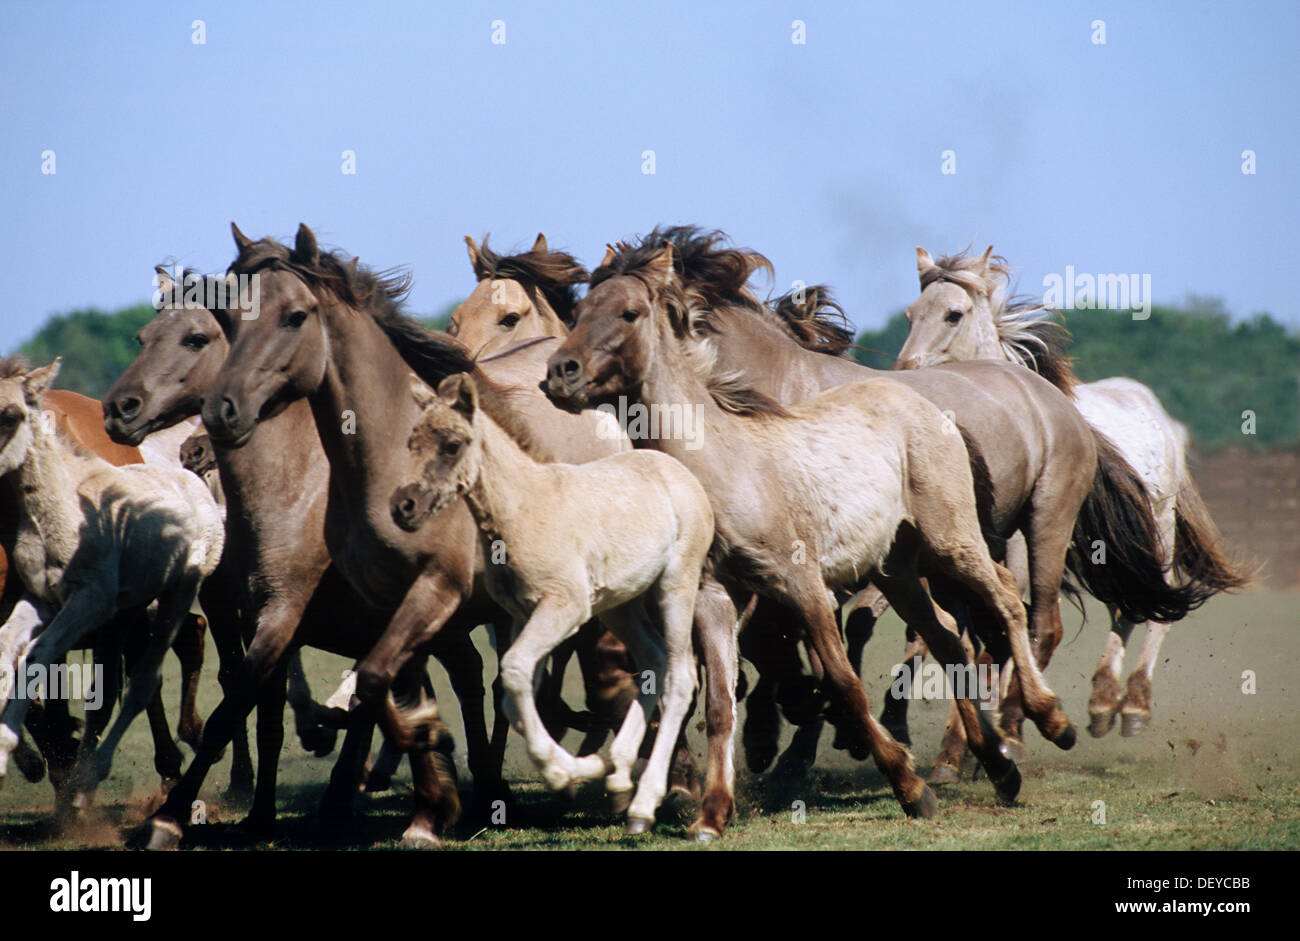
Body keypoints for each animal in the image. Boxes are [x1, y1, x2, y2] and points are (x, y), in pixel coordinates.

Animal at [0, 357, 225, 816]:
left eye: (10, 415)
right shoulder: (39, 599)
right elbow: (15, 655)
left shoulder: (92, 602)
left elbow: (42, 659)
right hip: (136, 608)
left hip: (173, 593)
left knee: (145, 678)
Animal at [391, 372, 714, 832]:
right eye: (411, 442)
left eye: (452, 444)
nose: (403, 507)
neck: (522, 511)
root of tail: (679, 473)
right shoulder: (521, 615)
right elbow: (515, 697)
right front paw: (585, 770)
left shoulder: (564, 607)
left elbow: (514, 671)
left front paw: (561, 774)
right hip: (620, 605)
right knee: (653, 659)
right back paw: (617, 771)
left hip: (675, 585)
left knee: (681, 676)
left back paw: (643, 804)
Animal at [896, 245, 1249, 738]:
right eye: (910, 314)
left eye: (954, 314)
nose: (903, 372)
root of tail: (1159, 413)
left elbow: (1012, 629)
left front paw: (1006, 723)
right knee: (1129, 607)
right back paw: (1101, 702)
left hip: (1157, 528)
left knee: (1154, 607)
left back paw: (1132, 705)